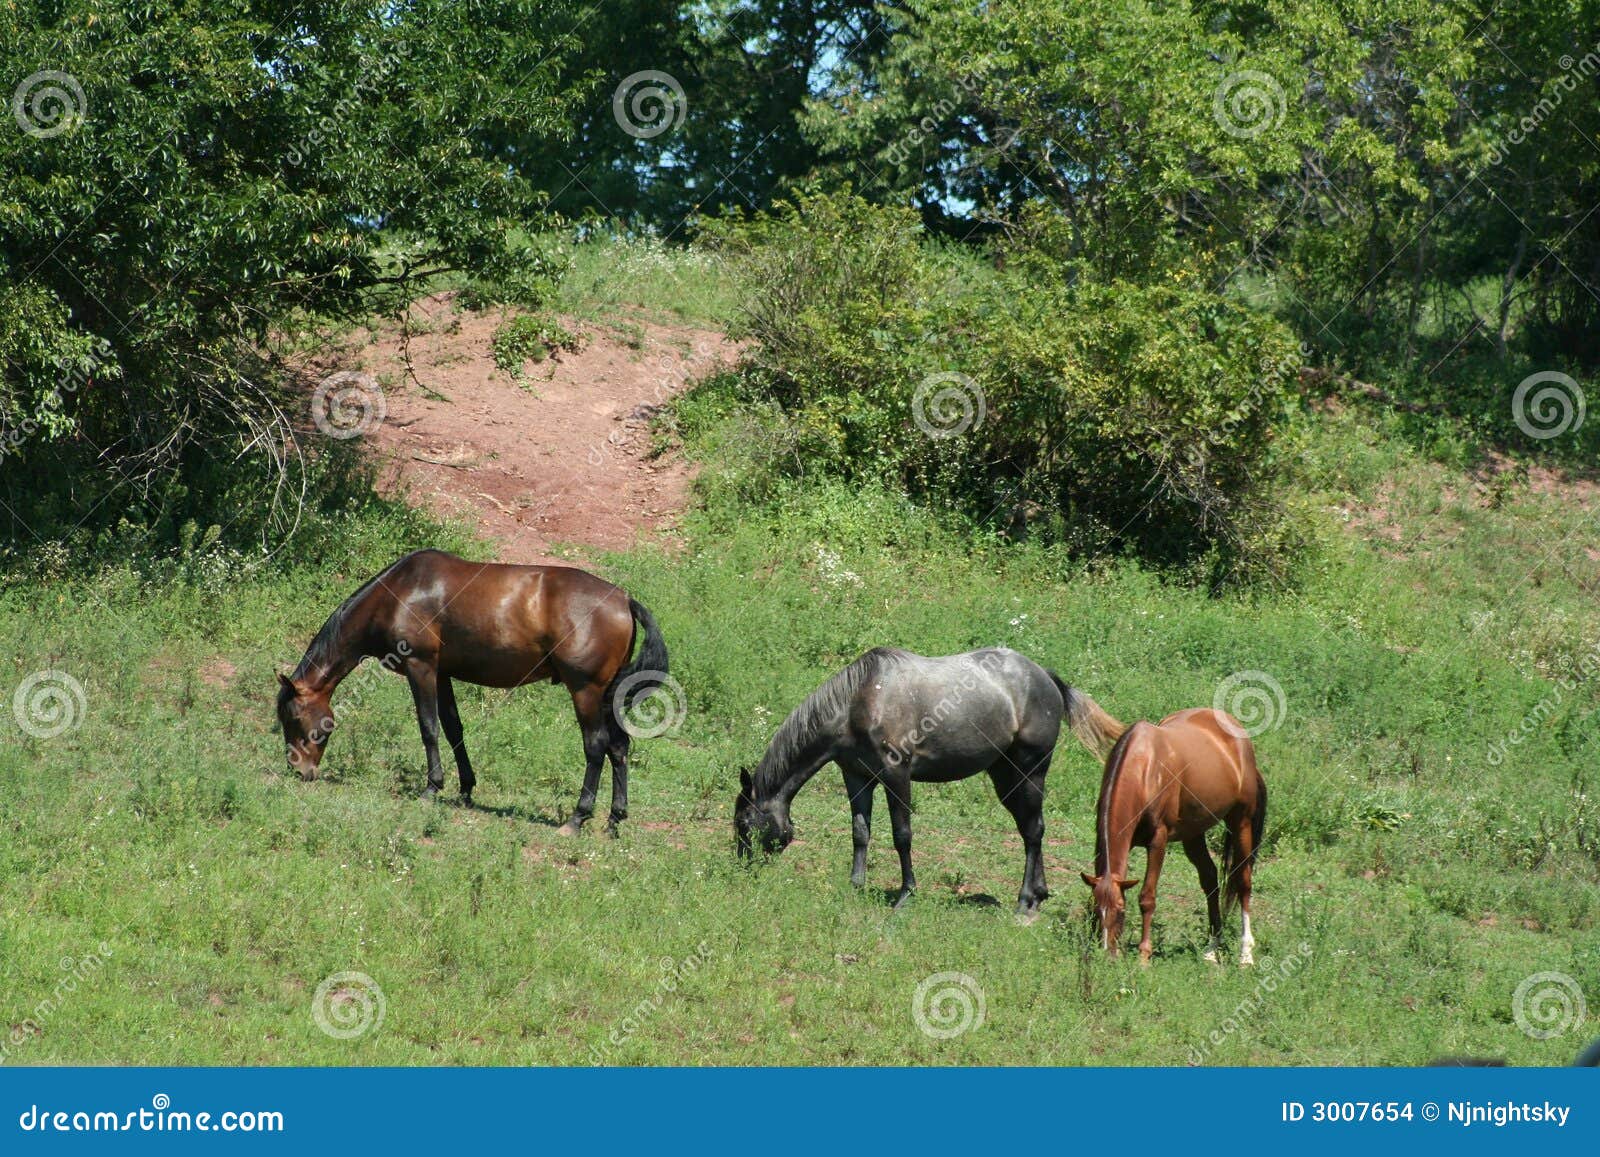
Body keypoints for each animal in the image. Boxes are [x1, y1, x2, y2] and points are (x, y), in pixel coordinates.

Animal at [275, 549, 668, 835]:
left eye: (293, 717)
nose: (300, 770)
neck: (402, 591)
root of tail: (623, 600)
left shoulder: (421, 667)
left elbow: (429, 728)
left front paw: (431, 788)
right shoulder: (442, 674)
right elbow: (453, 729)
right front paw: (465, 788)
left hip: (585, 691)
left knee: (596, 747)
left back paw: (577, 818)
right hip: (606, 695)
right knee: (619, 747)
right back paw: (614, 819)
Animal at [732, 646, 1125, 916]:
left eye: (746, 824)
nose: (741, 868)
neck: (861, 700)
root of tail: (1046, 678)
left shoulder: (896, 775)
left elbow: (902, 836)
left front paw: (906, 894)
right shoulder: (857, 776)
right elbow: (860, 832)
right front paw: (855, 885)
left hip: (1030, 771)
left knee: (1034, 830)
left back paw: (1025, 900)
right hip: (1005, 777)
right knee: (1030, 829)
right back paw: (1038, 895)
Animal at [1080, 708, 1267, 965]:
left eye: (1121, 909)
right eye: (1097, 910)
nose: (1108, 955)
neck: (1144, 769)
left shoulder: (1158, 841)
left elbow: (1147, 897)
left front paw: (1144, 956)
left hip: (1242, 824)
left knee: (1243, 882)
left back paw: (1245, 954)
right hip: (1193, 834)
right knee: (1210, 881)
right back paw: (1212, 948)